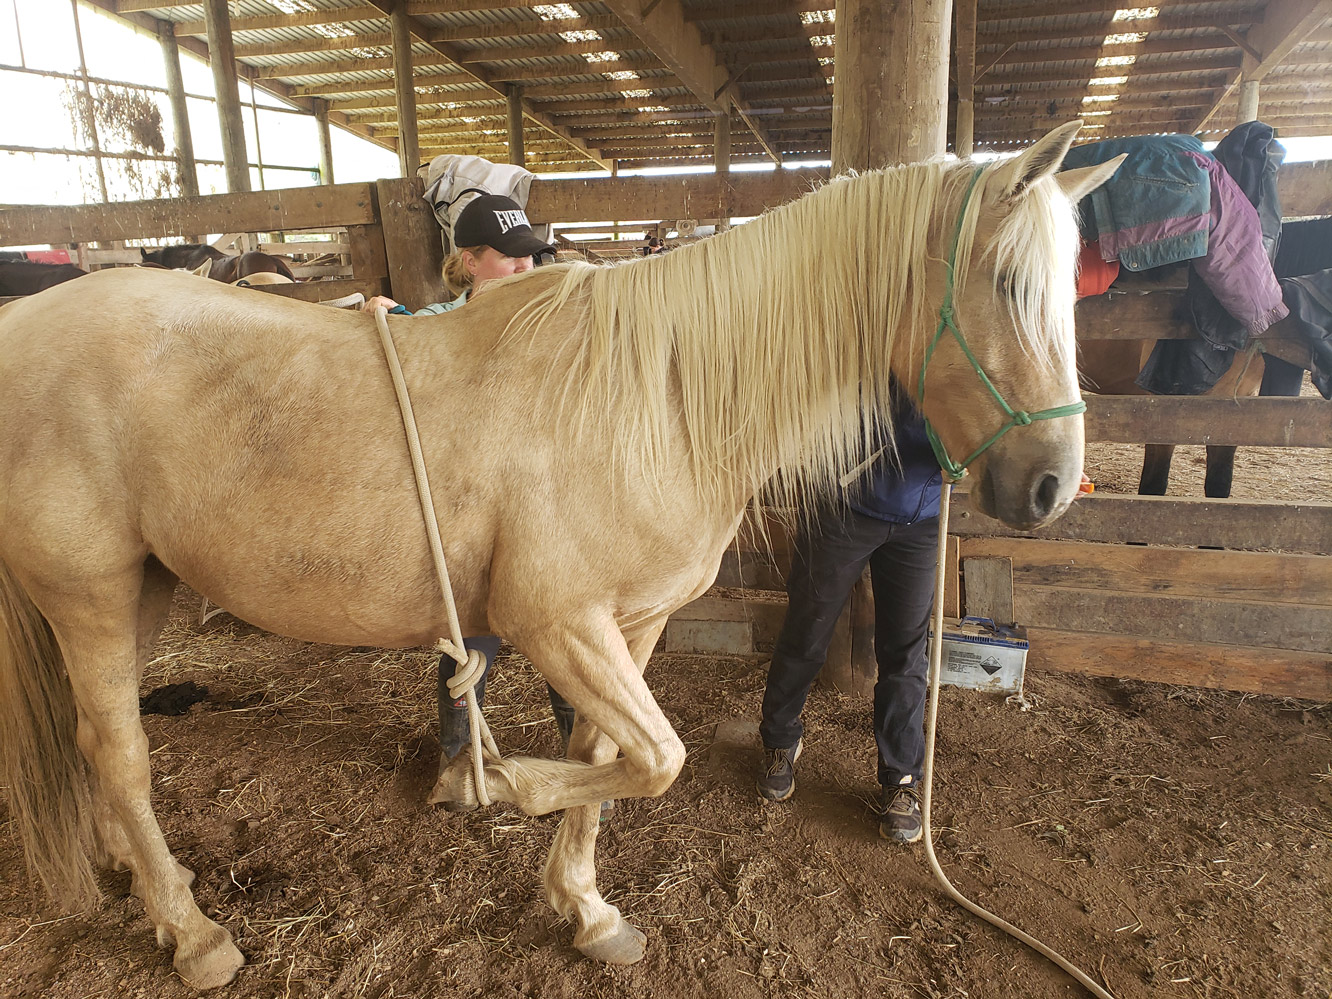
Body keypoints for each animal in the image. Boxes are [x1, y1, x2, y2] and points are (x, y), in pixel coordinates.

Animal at [0, 121, 1121, 989]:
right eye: (1007, 283)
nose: (1052, 485)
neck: (655, 397)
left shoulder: (630, 624)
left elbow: (613, 760)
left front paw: (585, 908)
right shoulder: (558, 622)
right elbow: (654, 760)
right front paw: (504, 787)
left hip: (143, 590)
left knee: (97, 746)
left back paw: (145, 884)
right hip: (90, 592)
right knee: (120, 752)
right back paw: (193, 933)